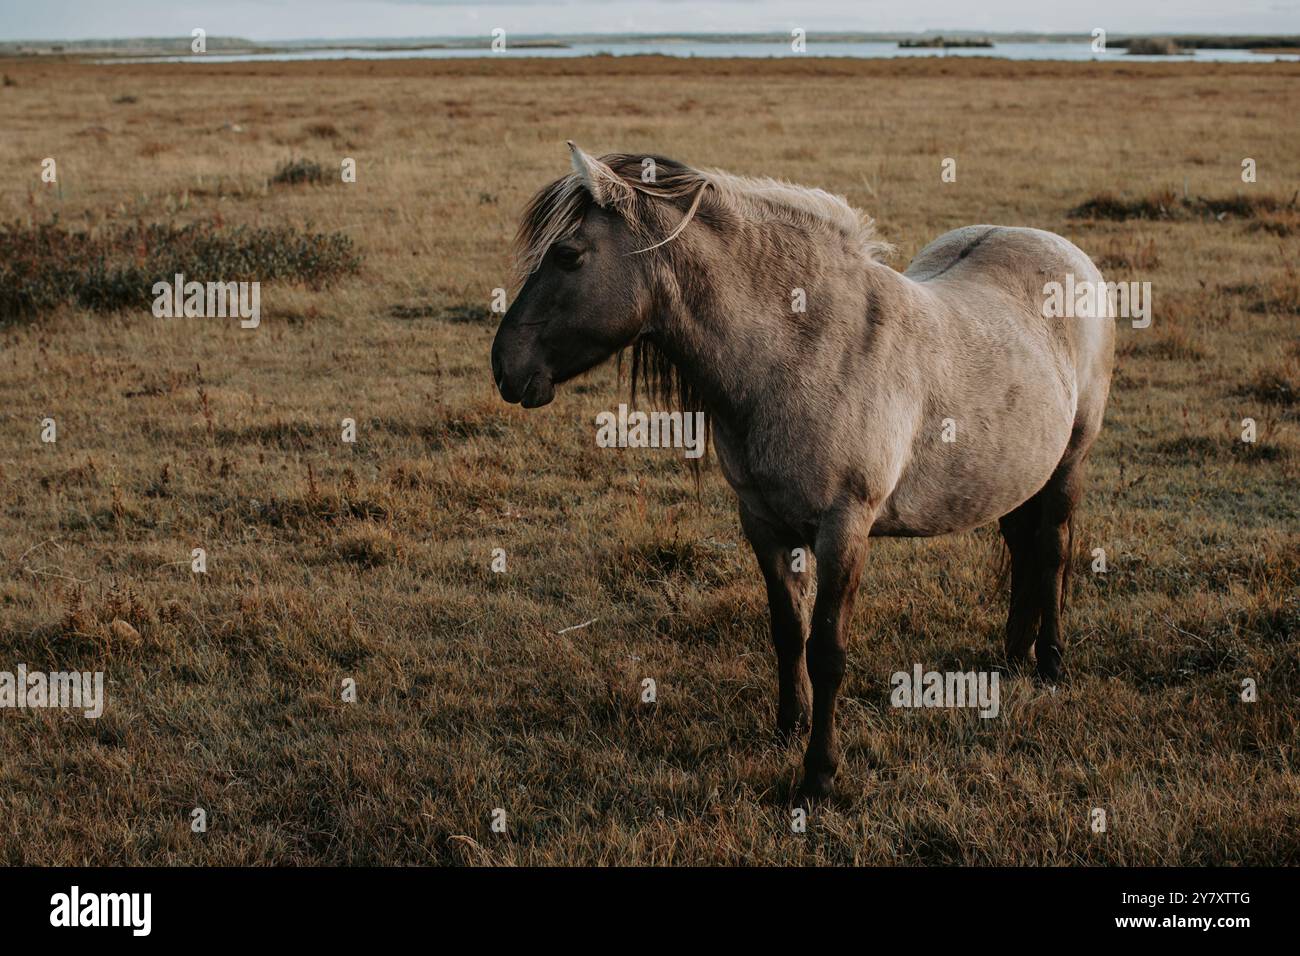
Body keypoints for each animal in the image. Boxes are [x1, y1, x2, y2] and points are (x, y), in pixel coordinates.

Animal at [491, 143, 1115, 801]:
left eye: (568, 255)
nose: (503, 365)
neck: (804, 351)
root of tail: (1062, 249)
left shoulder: (844, 529)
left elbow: (827, 651)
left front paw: (819, 773)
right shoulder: (764, 524)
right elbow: (787, 632)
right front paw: (789, 726)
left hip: (1069, 463)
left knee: (1052, 550)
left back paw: (1050, 663)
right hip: (1012, 476)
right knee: (1022, 549)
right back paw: (1013, 656)